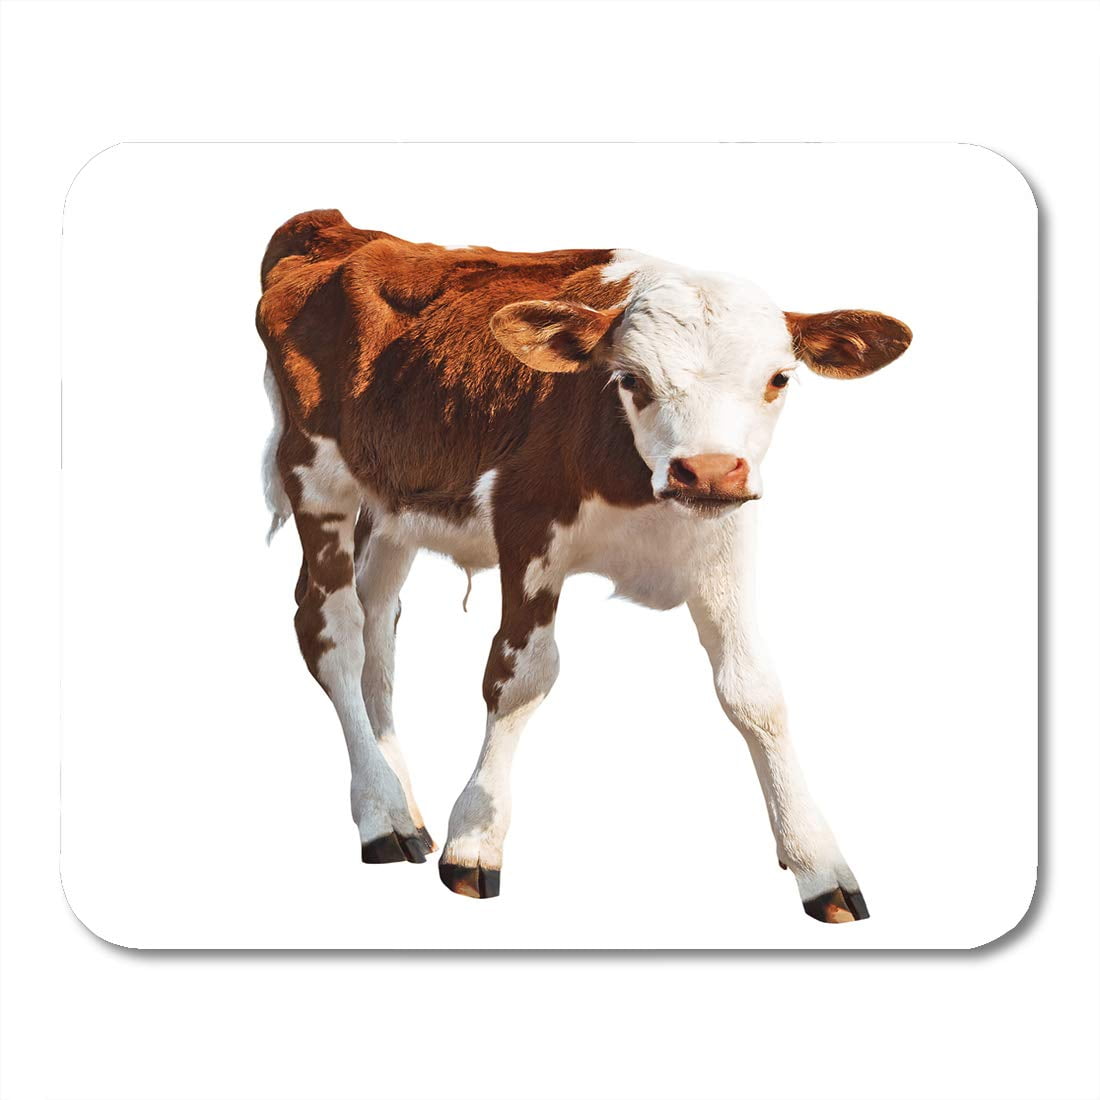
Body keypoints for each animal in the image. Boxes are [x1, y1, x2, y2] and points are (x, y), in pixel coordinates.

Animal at [256, 209, 912, 923]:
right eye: (630, 380)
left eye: (779, 378)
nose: (708, 470)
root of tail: (338, 229)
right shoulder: (525, 518)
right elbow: (519, 676)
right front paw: (475, 844)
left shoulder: (723, 539)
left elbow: (755, 693)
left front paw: (817, 861)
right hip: (315, 475)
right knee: (334, 632)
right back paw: (381, 814)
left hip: (393, 501)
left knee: (378, 625)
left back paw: (405, 805)